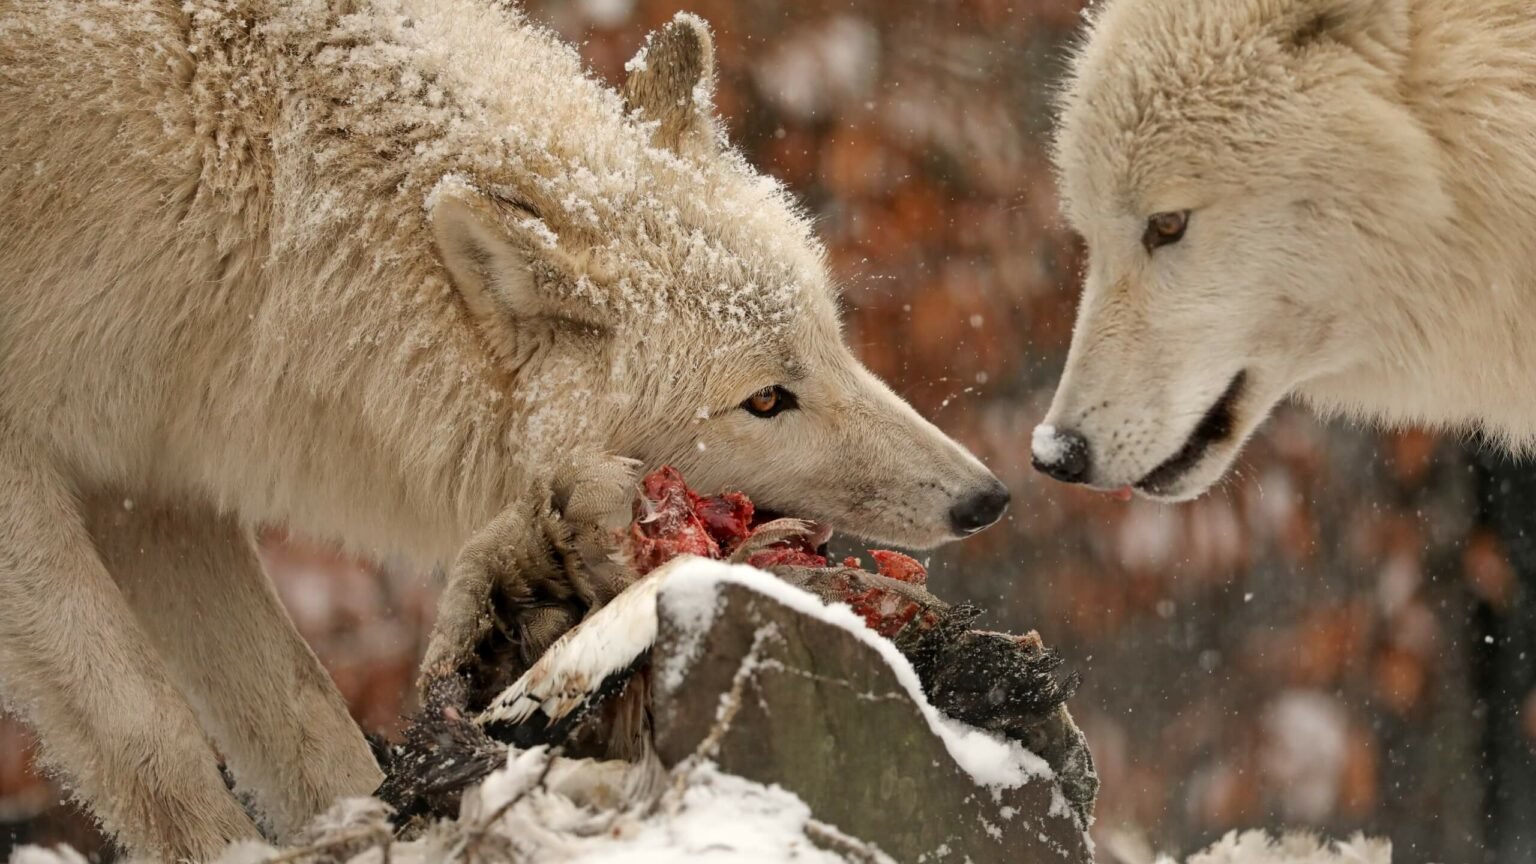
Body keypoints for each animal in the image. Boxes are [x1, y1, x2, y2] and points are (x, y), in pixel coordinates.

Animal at [0, 2, 1010, 858]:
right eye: (765, 400)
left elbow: (301, 712)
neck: (257, 201)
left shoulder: (155, 483)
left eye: (833, 342)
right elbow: (150, 728)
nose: (986, 499)